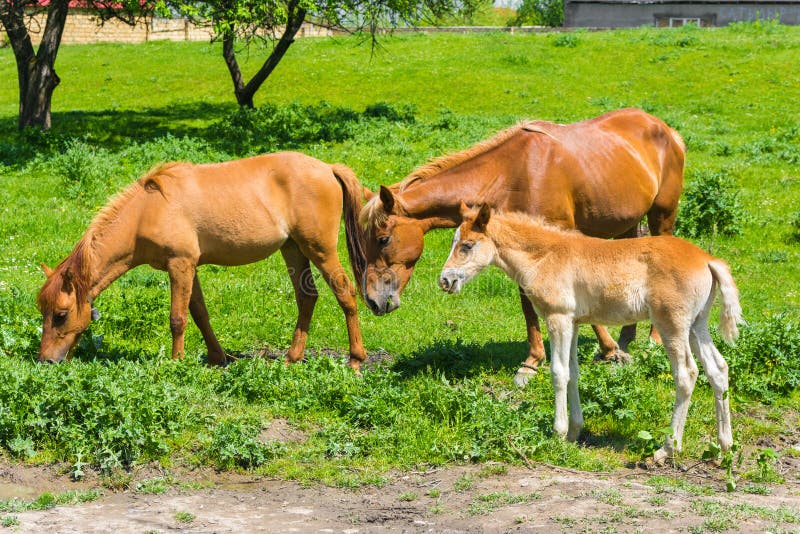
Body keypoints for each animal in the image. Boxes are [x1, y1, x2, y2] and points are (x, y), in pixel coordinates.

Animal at [37, 152, 369, 372]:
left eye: (61, 315)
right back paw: (292, 357)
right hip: (293, 249)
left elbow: (178, 318)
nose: (46, 360)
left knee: (345, 292)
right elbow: (199, 313)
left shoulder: (180, 264)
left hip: (319, 249)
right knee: (306, 298)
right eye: (44, 311)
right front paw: (217, 358)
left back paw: (355, 359)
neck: (147, 211)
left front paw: (176, 363)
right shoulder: (189, 268)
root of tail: (328, 168)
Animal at [358, 108, 686, 386]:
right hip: (627, 224)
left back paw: (654, 341)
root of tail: (666, 130)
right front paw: (532, 362)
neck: (514, 174)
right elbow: (527, 304)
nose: (373, 300)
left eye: (382, 239)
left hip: (662, 216)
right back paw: (628, 336)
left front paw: (608, 350)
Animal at [439, 203, 743, 462]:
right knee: (718, 369)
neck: (544, 256)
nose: (445, 280)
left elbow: (558, 372)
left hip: (672, 325)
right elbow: (573, 372)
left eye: (467, 245)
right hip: (696, 325)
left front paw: (558, 433)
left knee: (687, 374)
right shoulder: (573, 322)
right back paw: (724, 446)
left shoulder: (558, 318)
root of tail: (707, 259)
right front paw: (575, 432)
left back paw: (667, 448)